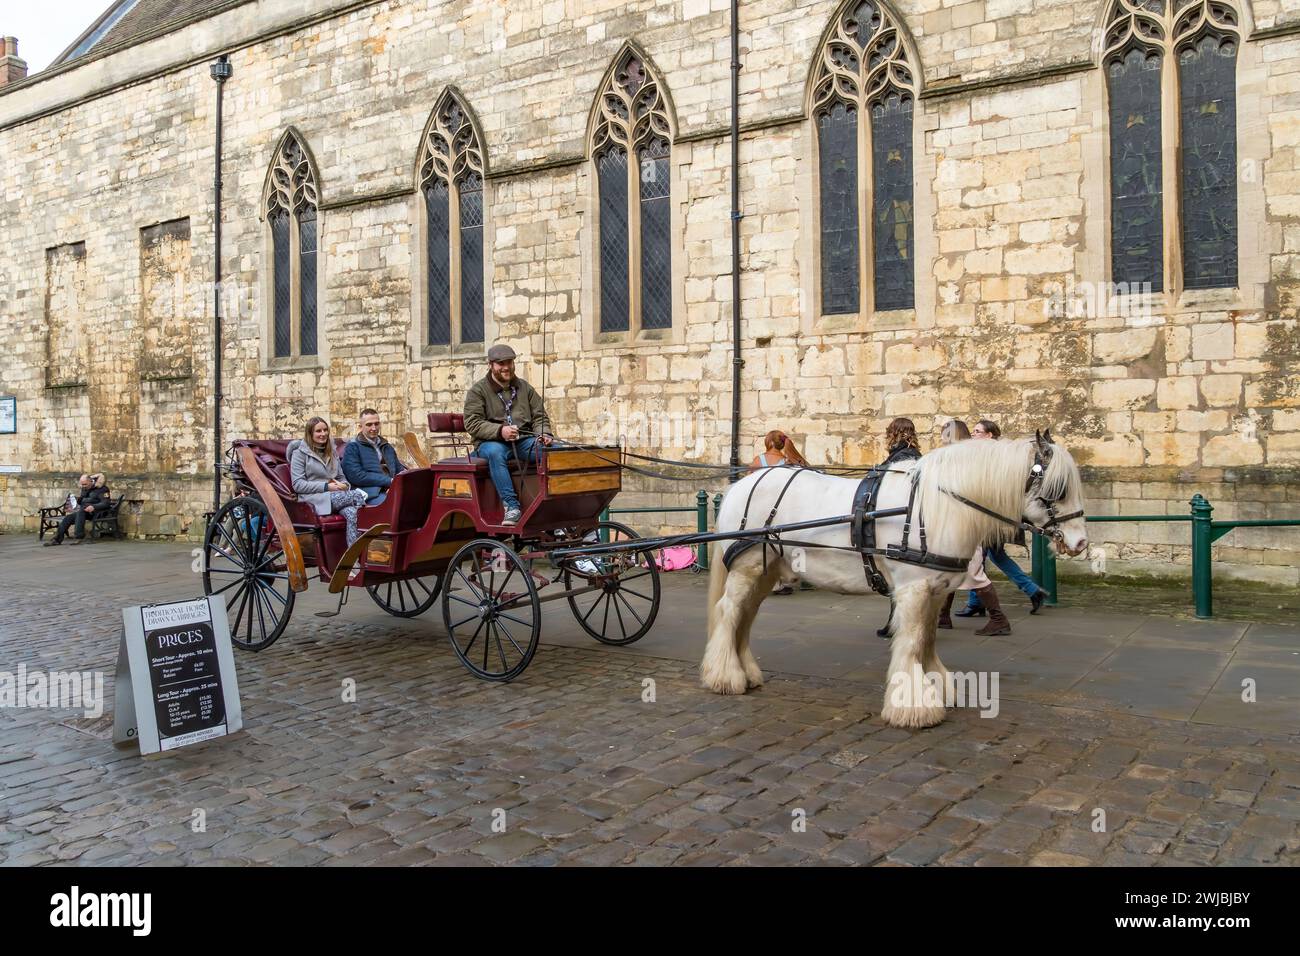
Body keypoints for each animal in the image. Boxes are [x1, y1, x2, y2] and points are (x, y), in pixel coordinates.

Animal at [700, 430, 1088, 729]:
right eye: (1058, 489)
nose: (1081, 542)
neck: (934, 508)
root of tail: (741, 485)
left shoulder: (935, 590)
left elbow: (927, 639)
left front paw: (938, 686)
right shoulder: (914, 589)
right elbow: (912, 641)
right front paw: (913, 706)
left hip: (765, 571)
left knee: (744, 617)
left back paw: (746, 671)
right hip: (748, 568)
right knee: (729, 612)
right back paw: (725, 675)